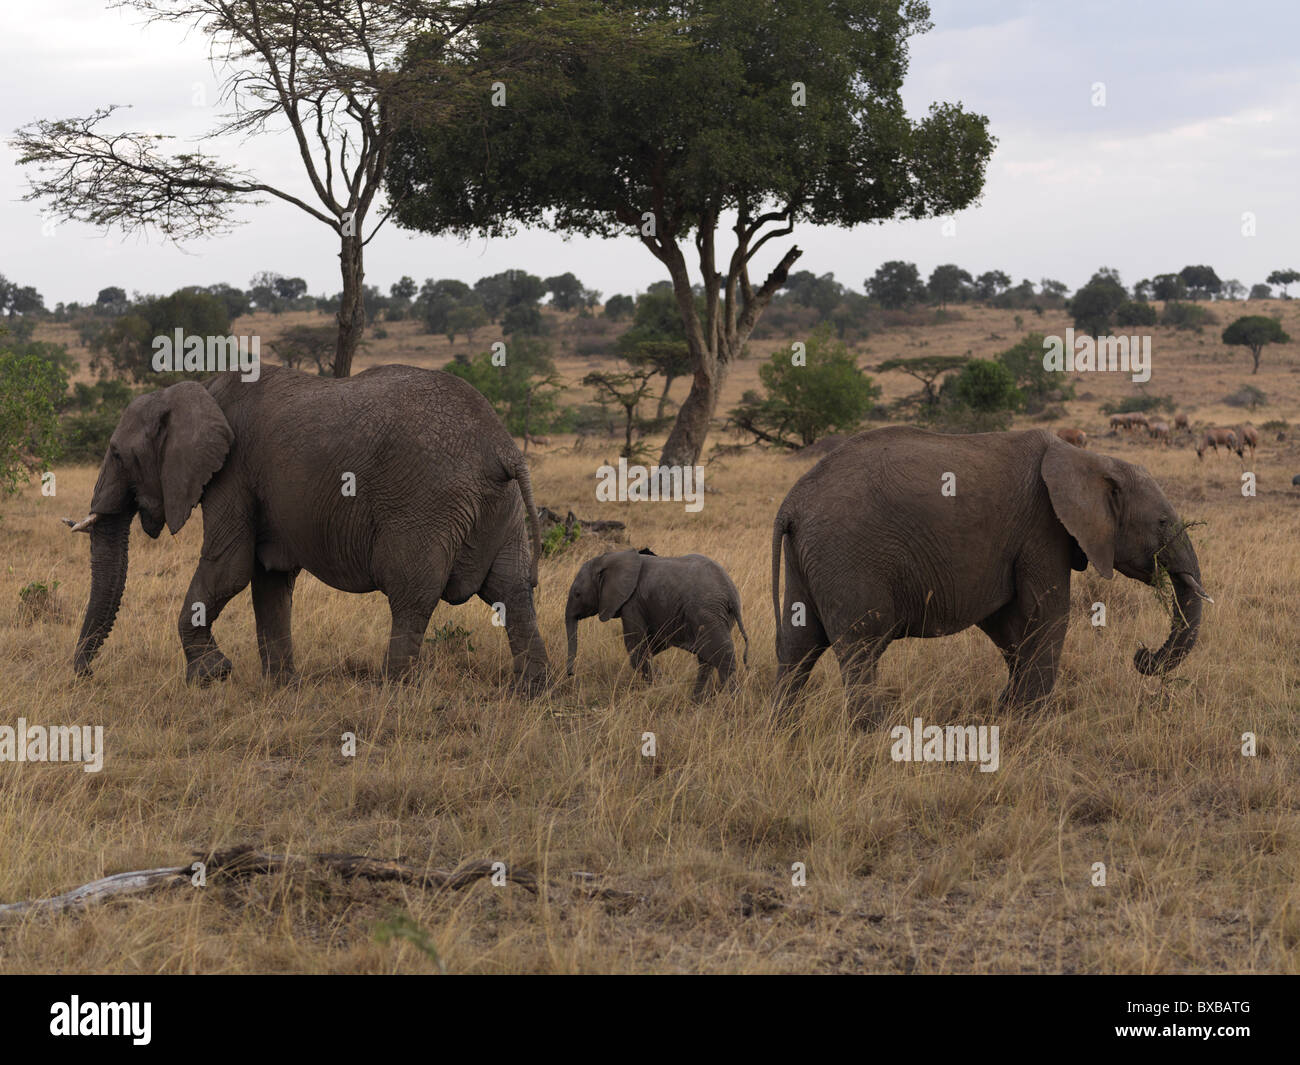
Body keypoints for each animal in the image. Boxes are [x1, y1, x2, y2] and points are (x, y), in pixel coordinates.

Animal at [65, 364, 549, 691]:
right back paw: (530, 691)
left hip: (428, 503)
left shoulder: (232, 475)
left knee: (412, 593)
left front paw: (211, 677)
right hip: (498, 507)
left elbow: (227, 569)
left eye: (117, 454)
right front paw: (281, 687)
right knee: (512, 590)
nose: (84, 674)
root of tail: (503, 446)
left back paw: (392, 691)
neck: (200, 389)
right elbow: (268, 580)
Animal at [565, 548, 749, 697]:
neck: (611, 557)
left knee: (723, 657)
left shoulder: (632, 603)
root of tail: (732, 594)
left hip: (707, 612)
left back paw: (731, 703)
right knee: (706, 659)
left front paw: (654, 687)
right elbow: (653, 643)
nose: (571, 674)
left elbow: (636, 649)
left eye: (577, 594)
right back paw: (696, 701)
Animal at [771, 426, 1208, 724]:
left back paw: (784, 730)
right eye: (1163, 523)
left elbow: (1008, 625)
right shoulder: (1042, 528)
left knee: (797, 645)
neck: (1089, 459)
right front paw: (1033, 719)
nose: (1141, 654)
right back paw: (872, 732)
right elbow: (1047, 613)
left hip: (810, 558)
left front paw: (1007, 711)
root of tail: (791, 504)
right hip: (847, 556)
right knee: (861, 644)